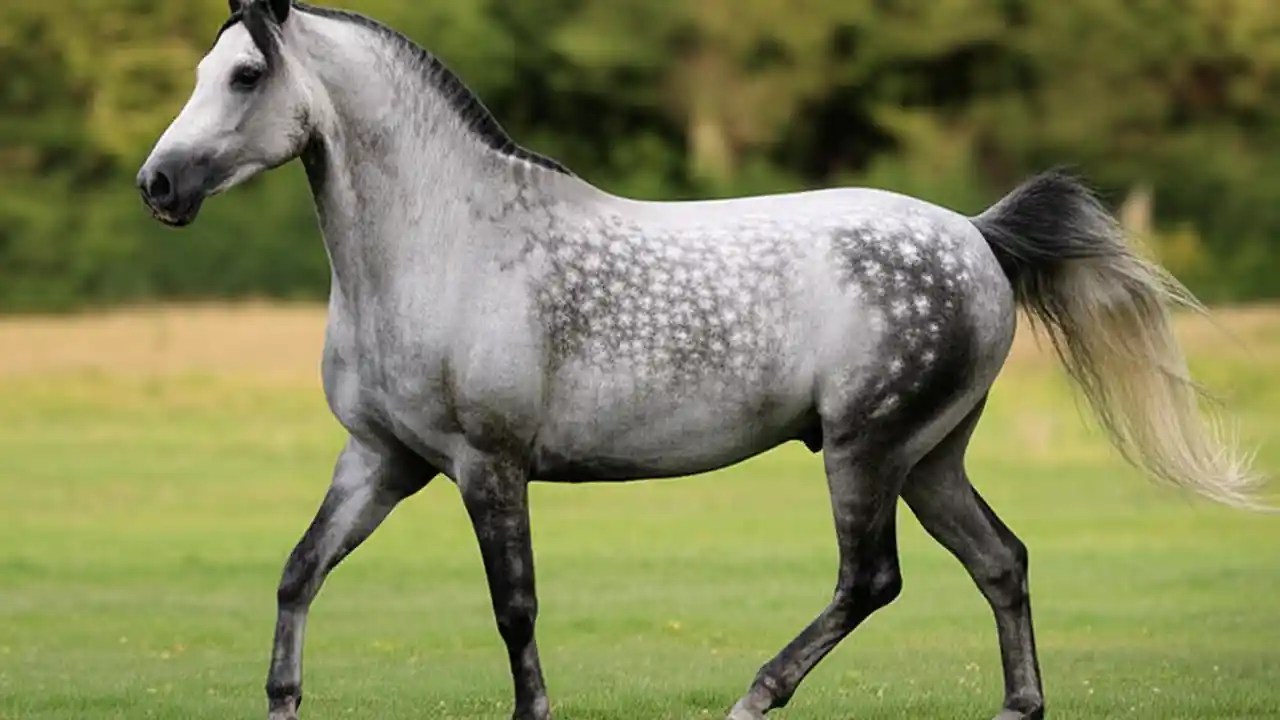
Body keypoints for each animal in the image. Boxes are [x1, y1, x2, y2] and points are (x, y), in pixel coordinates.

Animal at [137, 2, 1260, 718]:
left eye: (245, 75)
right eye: (198, 73)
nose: (158, 185)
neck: (446, 241)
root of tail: (977, 237)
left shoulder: (485, 466)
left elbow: (513, 609)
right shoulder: (382, 459)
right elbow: (298, 573)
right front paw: (281, 701)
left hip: (863, 451)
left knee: (871, 580)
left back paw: (752, 696)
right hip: (929, 458)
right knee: (1001, 562)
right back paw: (1013, 708)